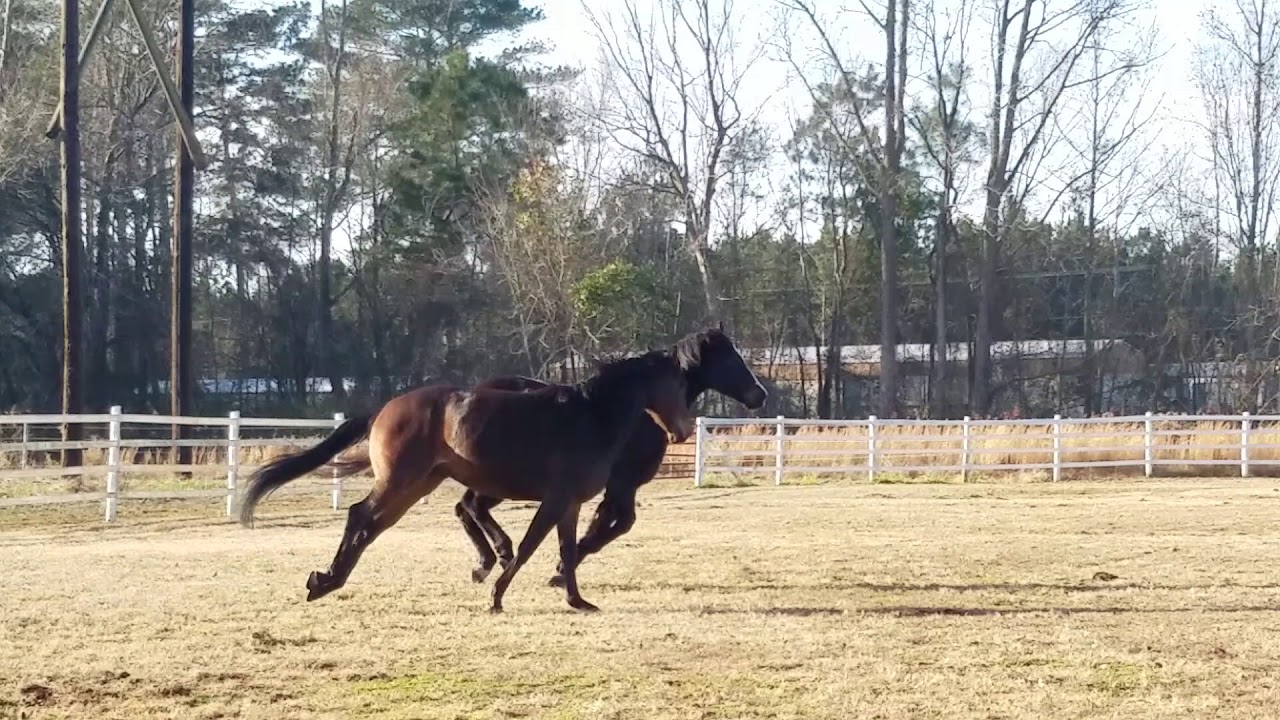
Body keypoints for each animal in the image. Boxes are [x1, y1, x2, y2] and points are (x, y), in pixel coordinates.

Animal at [238, 350, 697, 613]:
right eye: (676, 385)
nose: (684, 431)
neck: (590, 416)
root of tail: (382, 410)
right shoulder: (555, 499)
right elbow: (528, 547)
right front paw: (496, 597)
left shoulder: (571, 503)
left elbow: (566, 550)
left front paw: (577, 601)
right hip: (401, 482)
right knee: (360, 518)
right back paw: (325, 581)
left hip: (417, 485)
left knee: (371, 524)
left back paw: (328, 581)